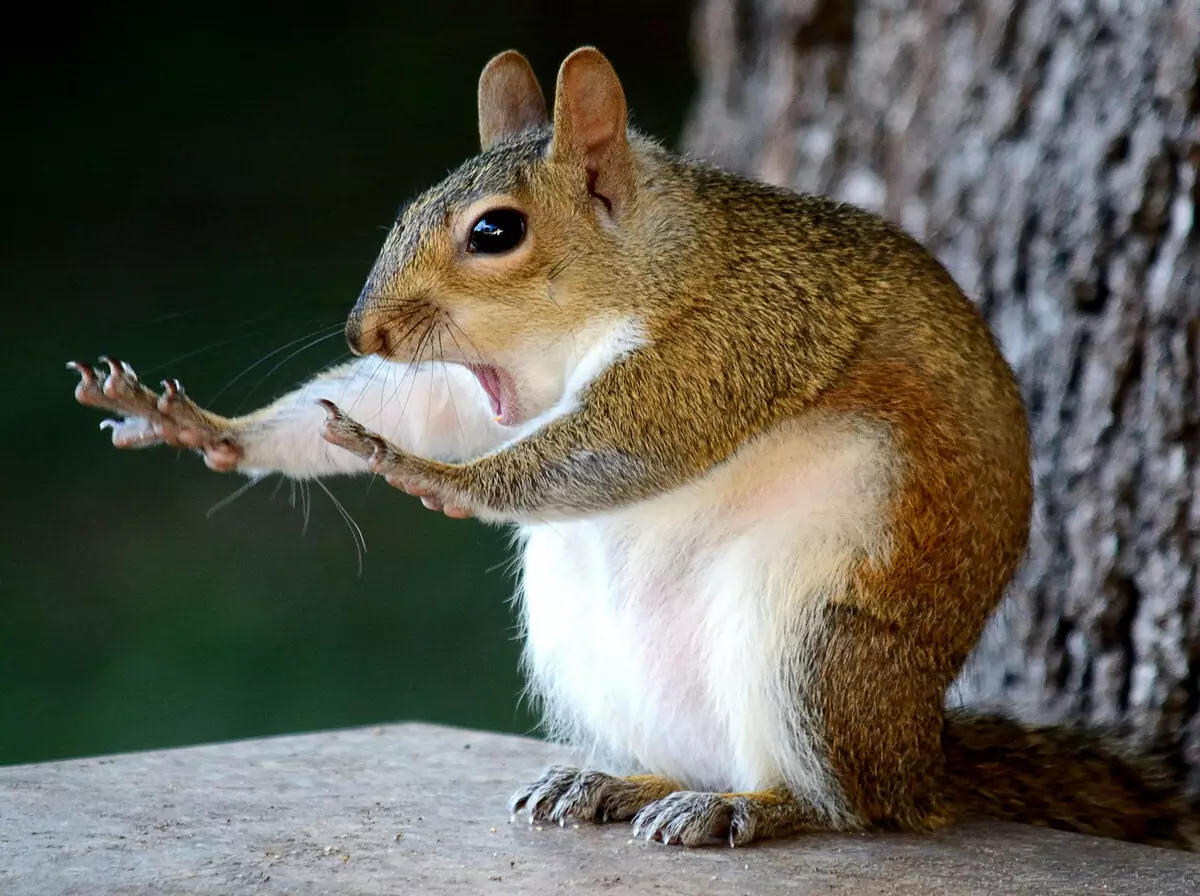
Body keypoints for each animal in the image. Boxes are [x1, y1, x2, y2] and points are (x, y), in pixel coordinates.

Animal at [70, 47, 1195, 849]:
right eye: (410, 208)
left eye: (495, 232)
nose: (367, 332)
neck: (643, 269)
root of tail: (922, 758)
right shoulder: (484, 383)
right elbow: (422, 405)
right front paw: (208, 427)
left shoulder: (736, 337)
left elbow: (624, 445)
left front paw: (432, 475)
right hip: (595, 650)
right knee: (693, 760)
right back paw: (616, 781)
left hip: (814, 646)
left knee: (850, 805)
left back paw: (753, 808)